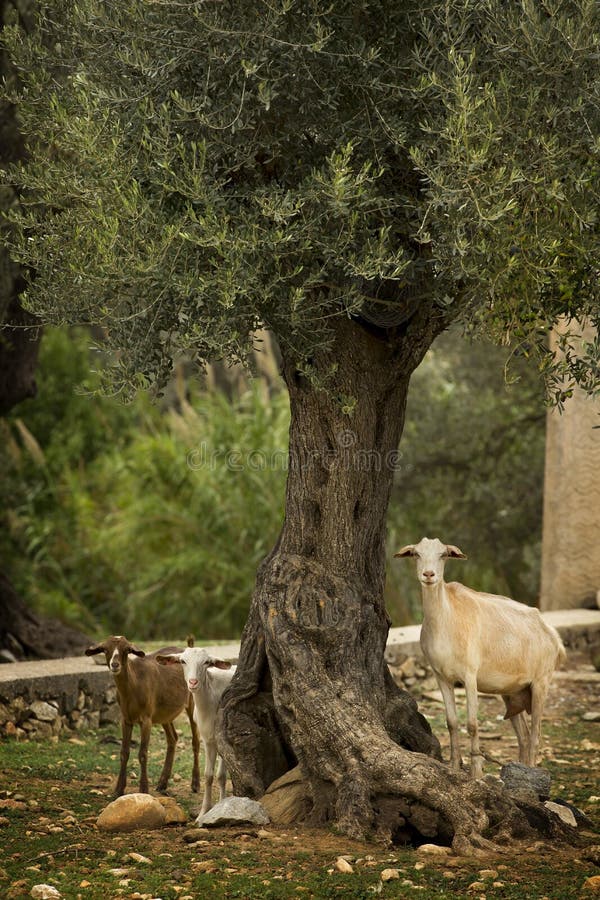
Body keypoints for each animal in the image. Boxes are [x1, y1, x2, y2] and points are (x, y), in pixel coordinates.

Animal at [85, 635, 200, 797]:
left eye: (127, 649)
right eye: (105, 649)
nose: (115, 664)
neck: (133, 686)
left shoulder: (146, 719)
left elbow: (143, 754)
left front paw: (144, 789)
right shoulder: (126, 719)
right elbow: (124, 752)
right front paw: (118, 789)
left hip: (192, 702)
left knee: (195, 741)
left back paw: (195, 784)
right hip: (163, 712)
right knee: (173, 738)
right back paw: (162, 783)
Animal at [157, 647, 236, 814]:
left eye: (207, 662)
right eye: (182, 661)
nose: (193, 682)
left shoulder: (224, 737)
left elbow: (221, 775)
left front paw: (222, 804)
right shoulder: (208, 738)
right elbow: (209, 775)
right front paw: (204, 811)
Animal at [395, 537, 566, 779]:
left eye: (443, 555)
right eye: (416, 554)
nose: (429, 575)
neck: (447, 621)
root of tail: (553, 636)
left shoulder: (470, 676)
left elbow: (472, 723)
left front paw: (476, 771)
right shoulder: (441, 676)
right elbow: (451, 722)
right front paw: (454, 766)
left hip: (541, 682)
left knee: (535, 735)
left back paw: (532, 771)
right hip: (511, 692)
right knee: (523, 736)